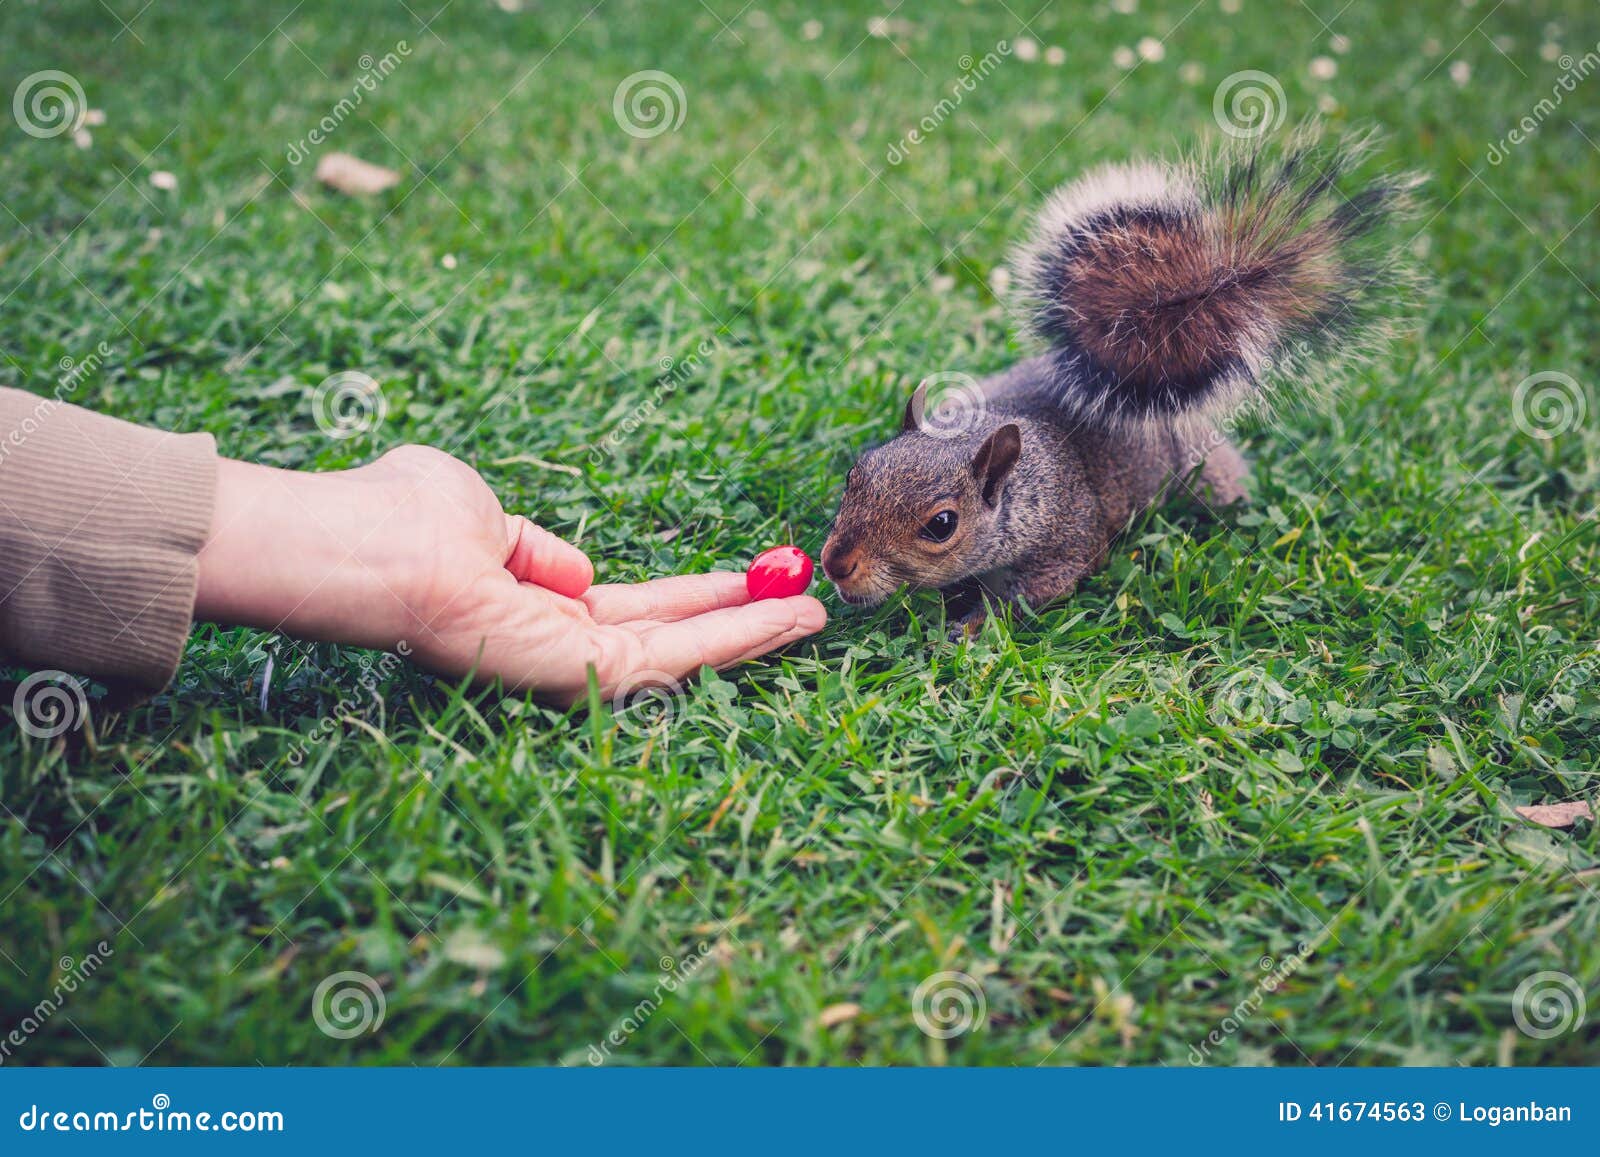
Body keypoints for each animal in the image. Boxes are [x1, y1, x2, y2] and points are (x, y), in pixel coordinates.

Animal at [820, 133, 1417, 631]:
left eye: (941, 524)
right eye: (855, 474)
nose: (835, 564)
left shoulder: (1067, 540)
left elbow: (1031, 594)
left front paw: (965, 629)